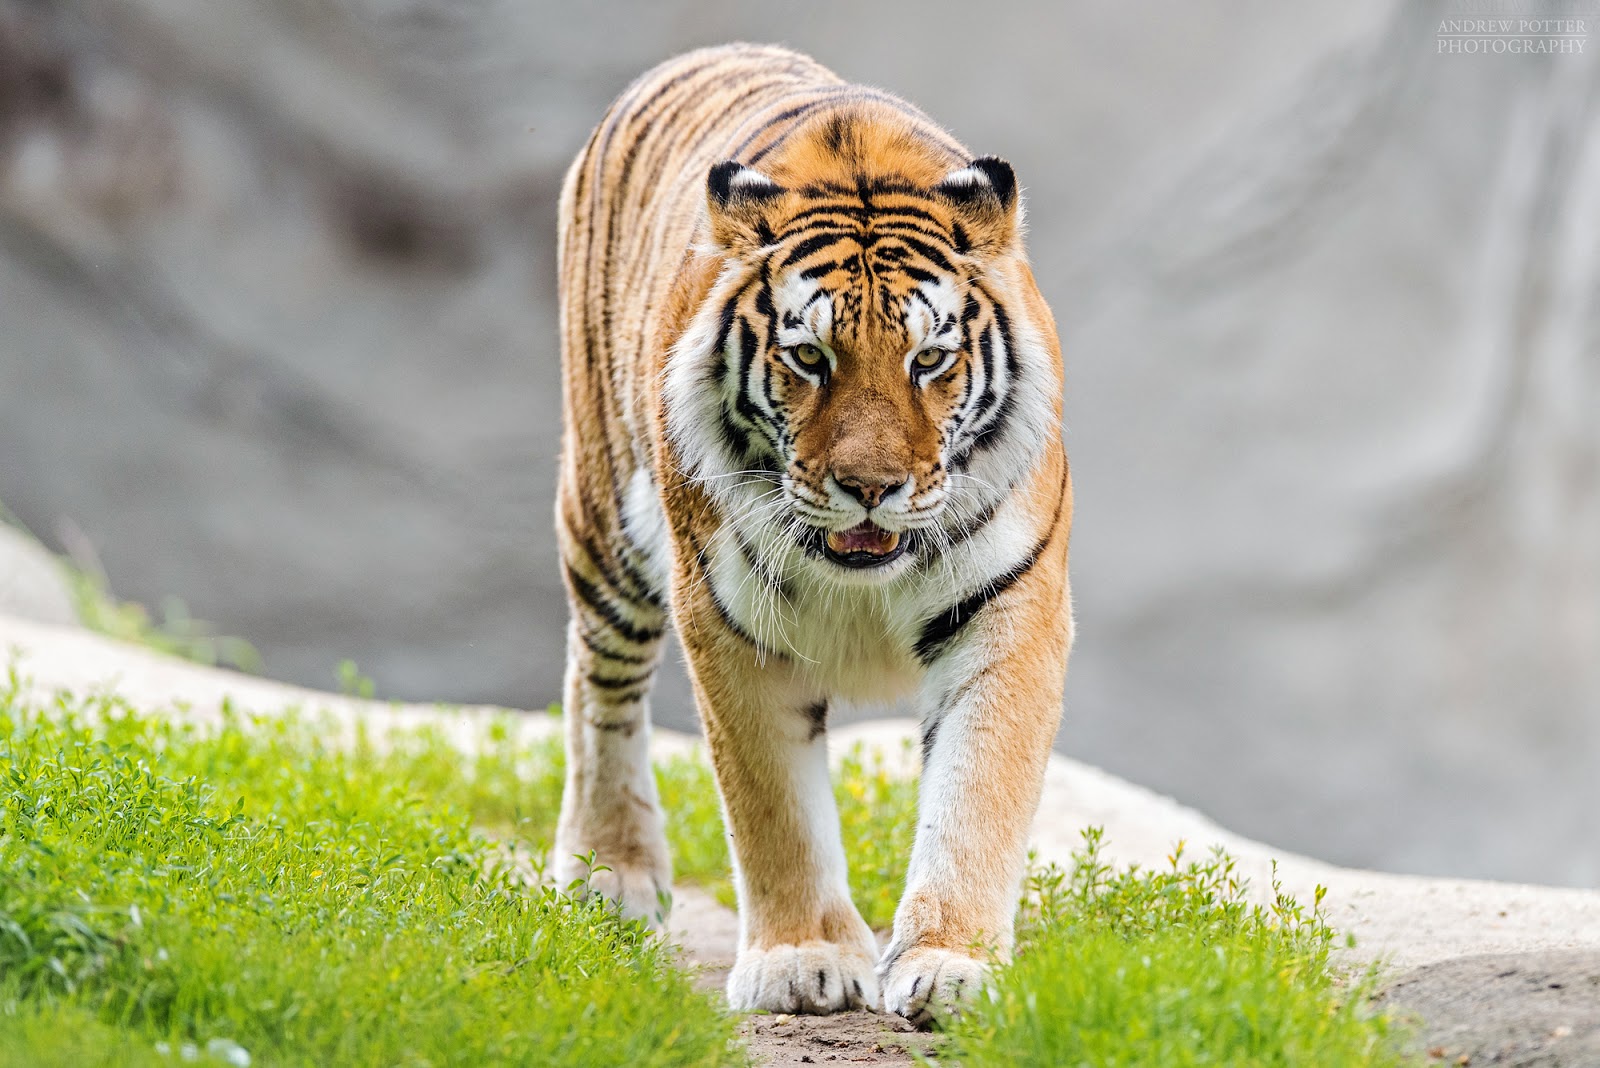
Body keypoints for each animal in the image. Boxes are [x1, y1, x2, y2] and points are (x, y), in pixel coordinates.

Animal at [551, 43, 1073, 1025]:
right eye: (808, 357)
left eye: (929, 359)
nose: (871, 489)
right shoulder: (729, 619)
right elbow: (774, 807)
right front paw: (804, 961)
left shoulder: (1007, 610)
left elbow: (976, 793)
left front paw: (951, 965)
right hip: (605, 518)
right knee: (600, 681)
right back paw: (609, 874)